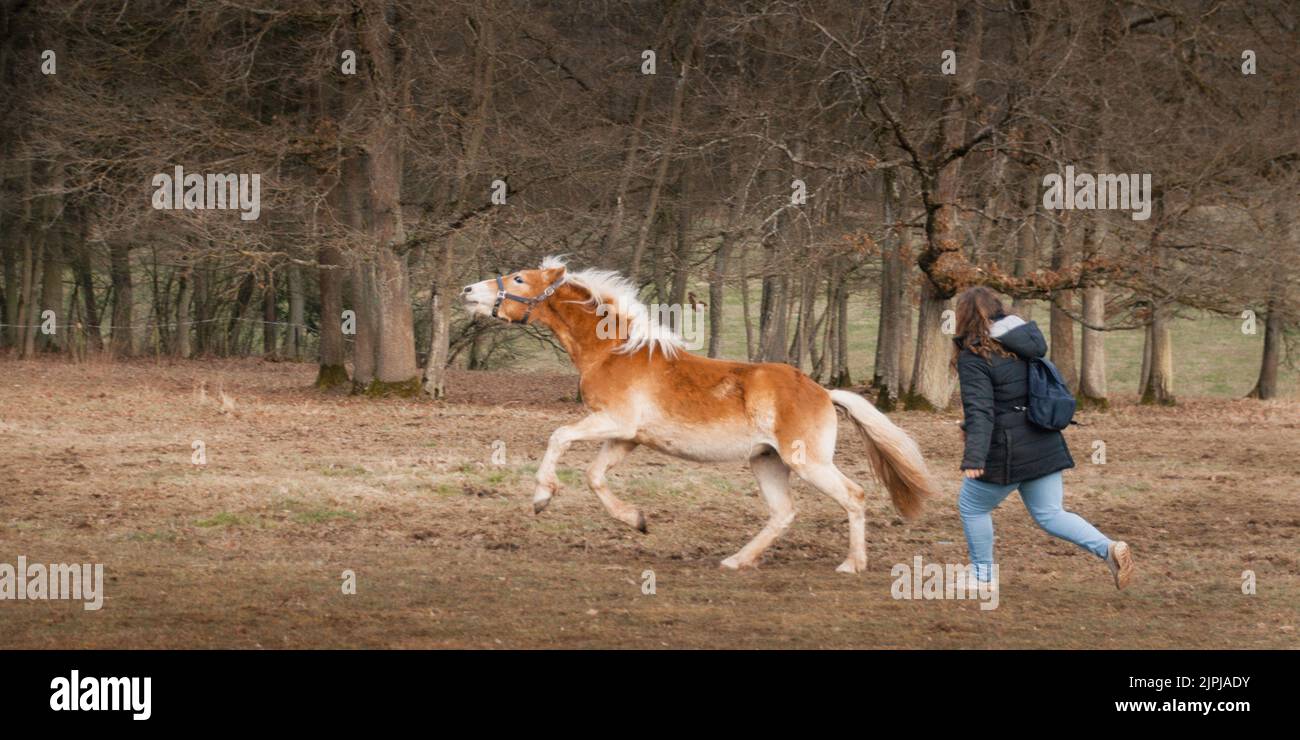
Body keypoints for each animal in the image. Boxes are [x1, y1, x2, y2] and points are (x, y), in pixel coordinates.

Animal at [460, 257, 936, 573]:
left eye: (519, 278)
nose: (467, 292)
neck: (613, 352)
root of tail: (822, 391)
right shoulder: (626, 438)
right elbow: (595, 476)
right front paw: (637, 520)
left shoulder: (613, 423)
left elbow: (558, 436)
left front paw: (541, 498)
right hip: (766, 461)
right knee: (783, 513)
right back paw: (736, 561)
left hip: (807, 462)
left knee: (854, 496)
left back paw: (852, 565)